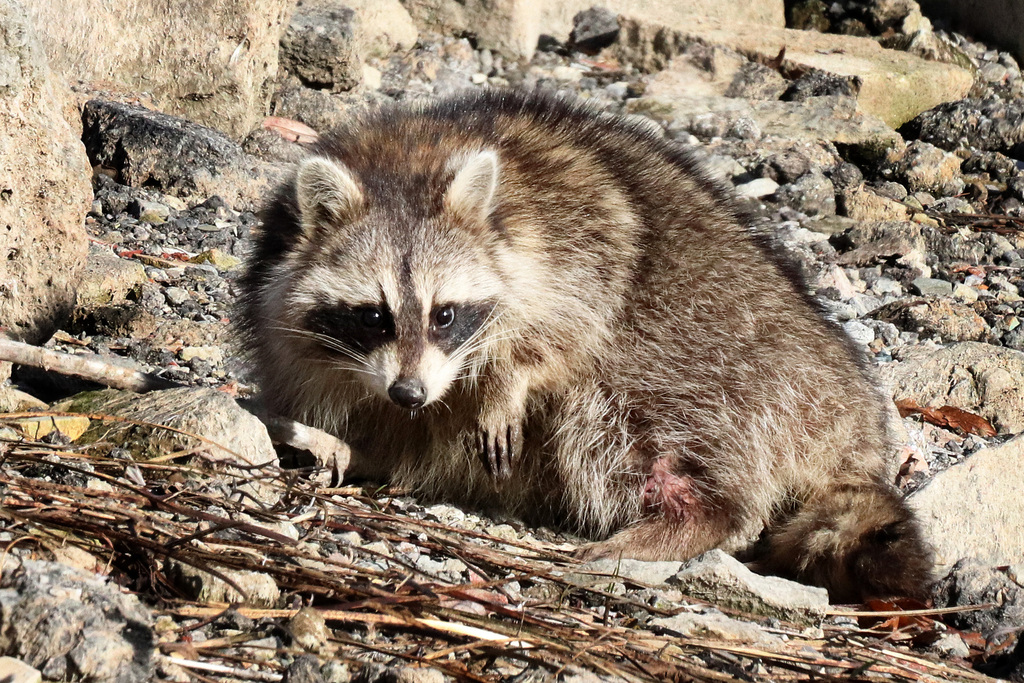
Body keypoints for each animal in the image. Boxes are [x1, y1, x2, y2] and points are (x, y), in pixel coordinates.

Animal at [238, 90, 933, 602]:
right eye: (374, 317)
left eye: (445, 315)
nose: (410, 392)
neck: (407, 158)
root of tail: (857, 424)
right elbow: (328, 382)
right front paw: (350, 438)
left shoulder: (580, 237)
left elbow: (572, 328)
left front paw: (509, 377)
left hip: (737, 371)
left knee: (615, 414)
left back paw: (690, 516)